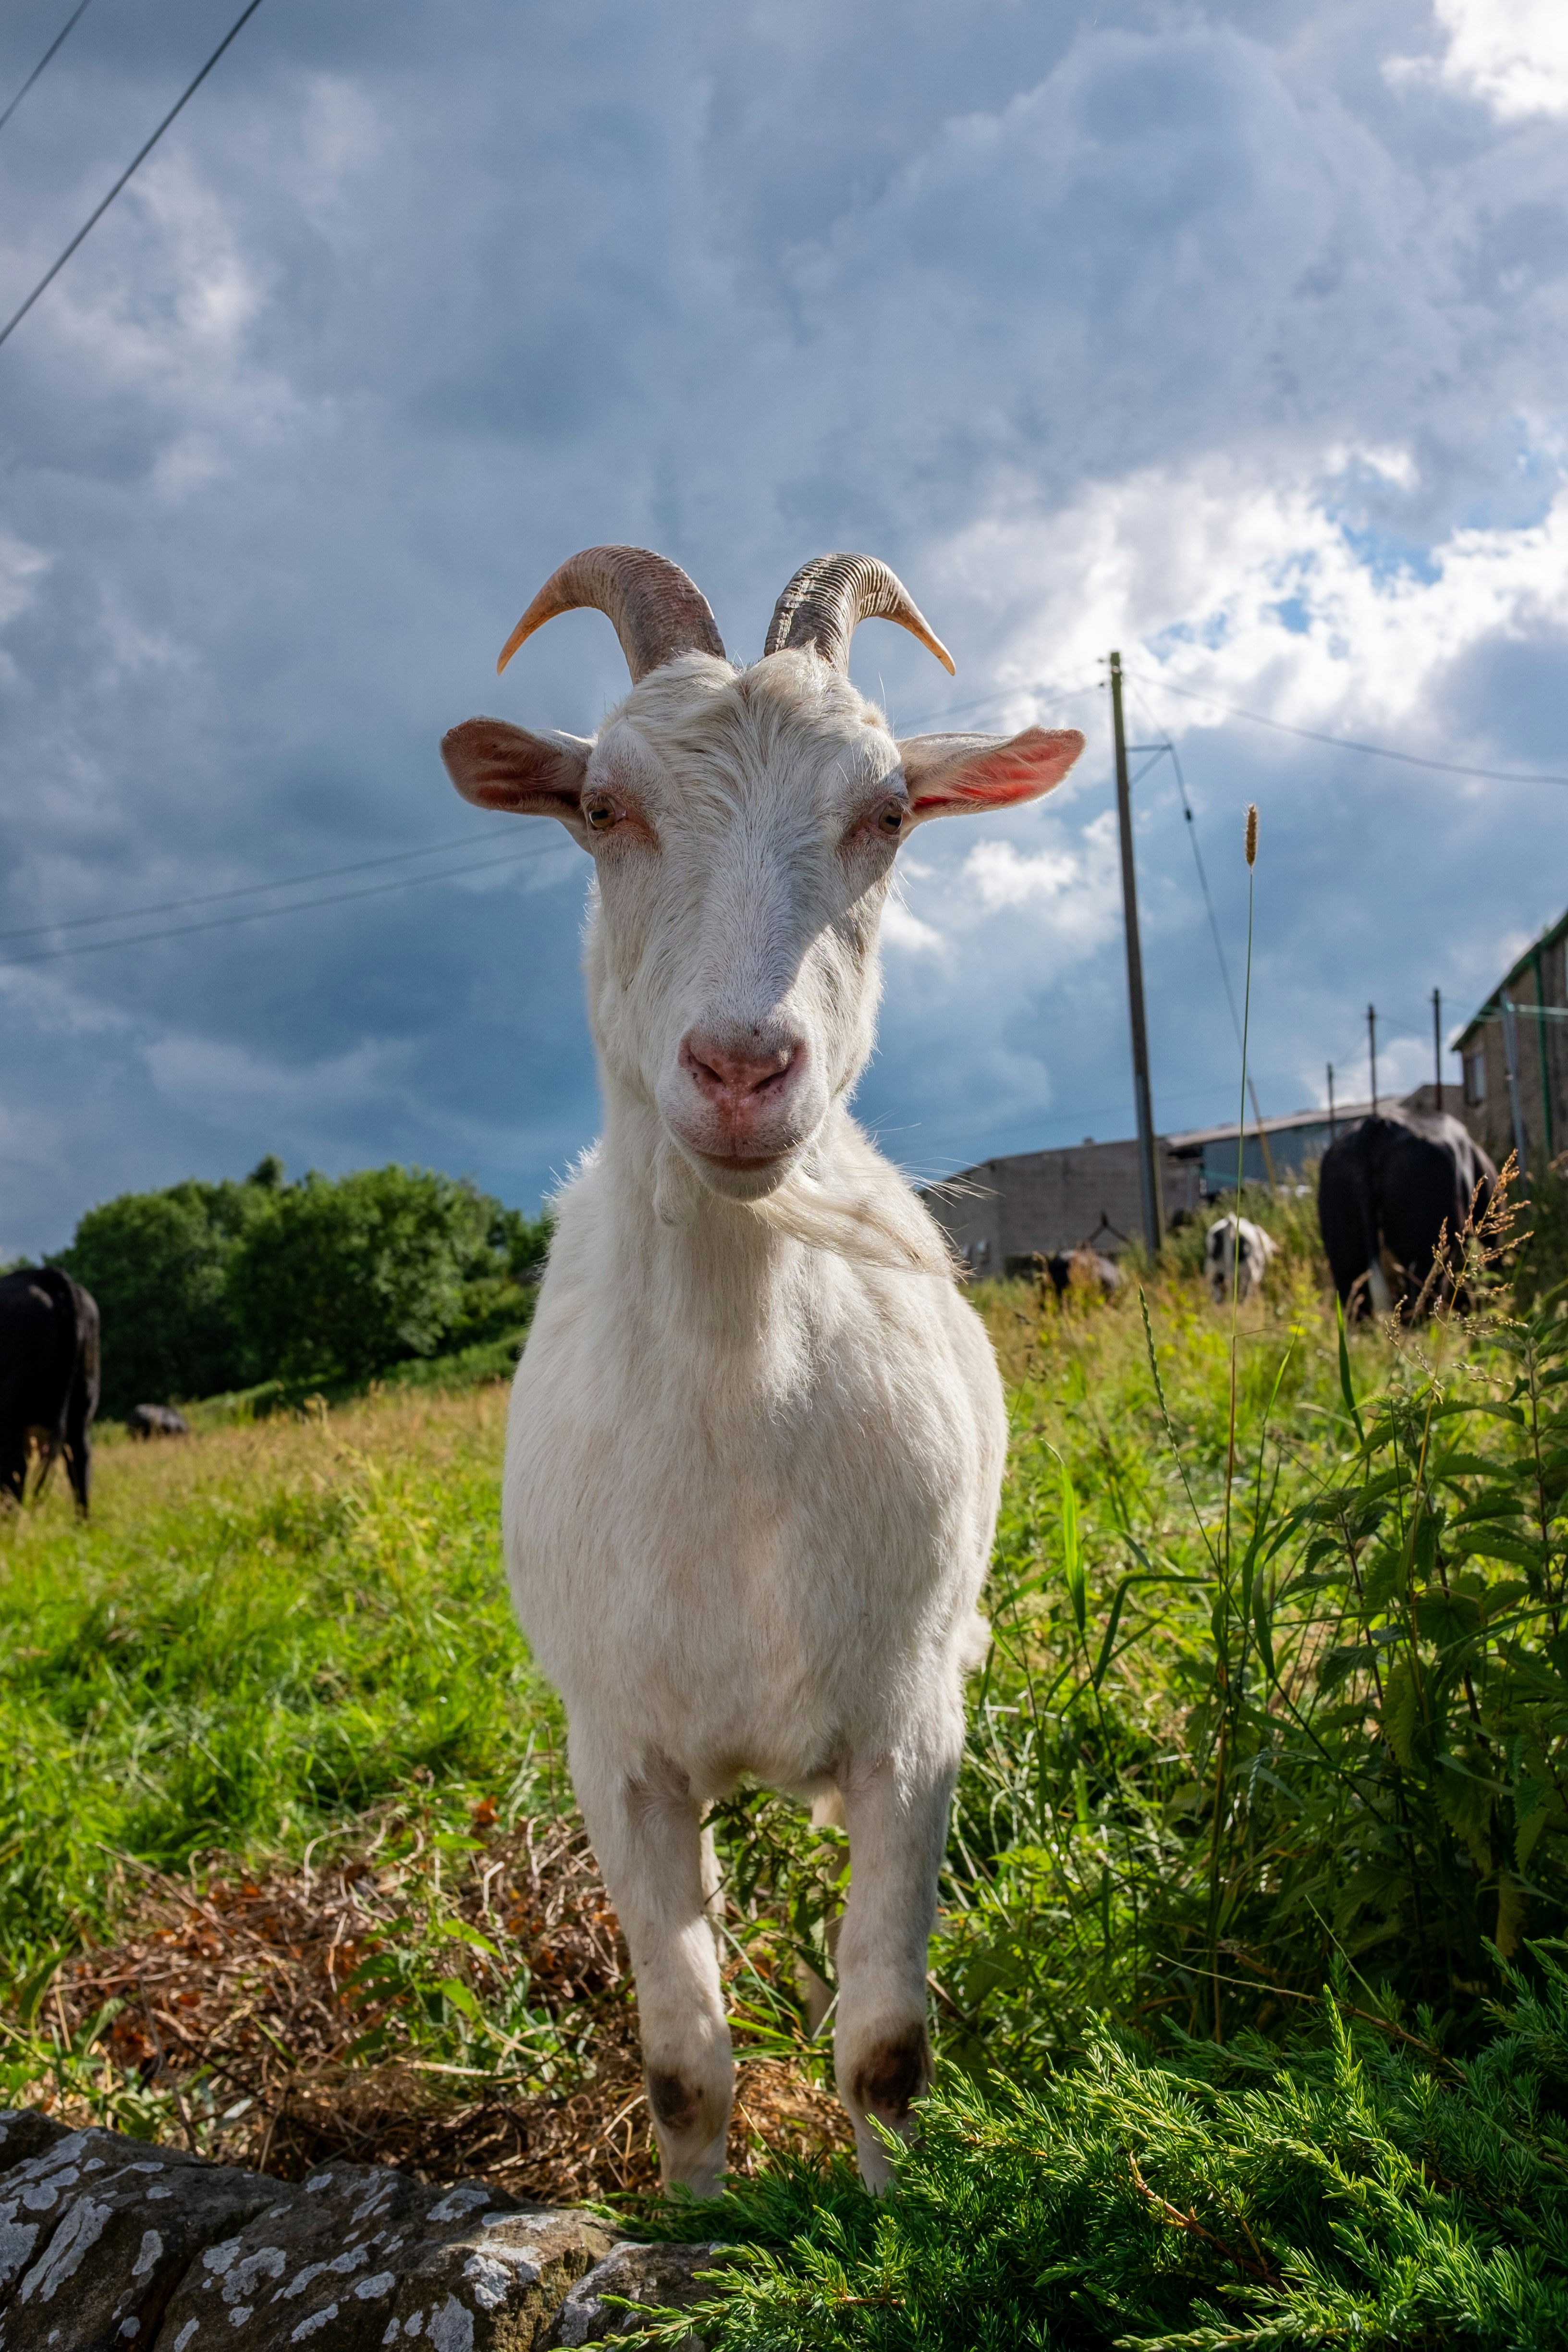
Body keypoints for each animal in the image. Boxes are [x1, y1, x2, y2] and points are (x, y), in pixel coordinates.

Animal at [441, 547, 1084, 2193]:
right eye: (602, 807)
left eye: (889, 814)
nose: (741, 1069)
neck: (736, 1424)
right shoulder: (617, 1753)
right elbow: (682, 2062)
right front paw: (695, 2222)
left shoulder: (907, 1733)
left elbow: (885, 2045)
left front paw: (895, 2217)